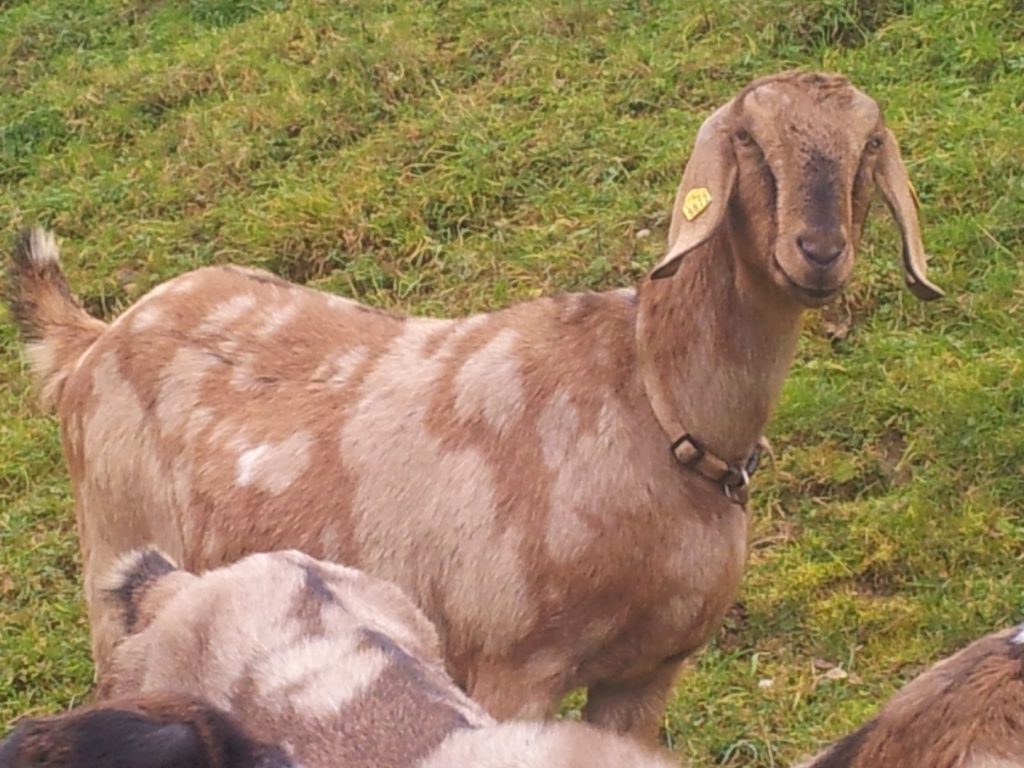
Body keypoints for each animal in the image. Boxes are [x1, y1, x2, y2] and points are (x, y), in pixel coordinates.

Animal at [4, 72, 937, 745]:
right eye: (748, 139)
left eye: (868, 145)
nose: (818, 250)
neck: (651, 406)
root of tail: (93, 339)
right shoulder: (511, 663)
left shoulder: (649, 672)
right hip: (114, 569)